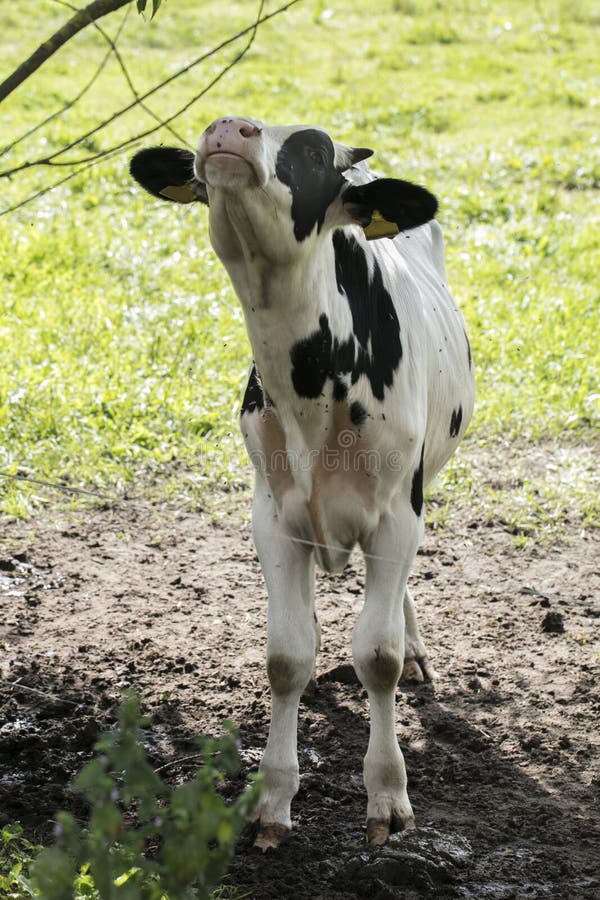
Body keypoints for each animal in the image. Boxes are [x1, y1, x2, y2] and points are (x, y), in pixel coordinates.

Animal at [130, 117, 475, 850]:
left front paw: (387, 796)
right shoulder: (272, 516)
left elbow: (379, 655)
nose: (228, 129)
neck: (314, 384)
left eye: (313, 151)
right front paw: (272, 801)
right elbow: (287, 657)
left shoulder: (398, 513)